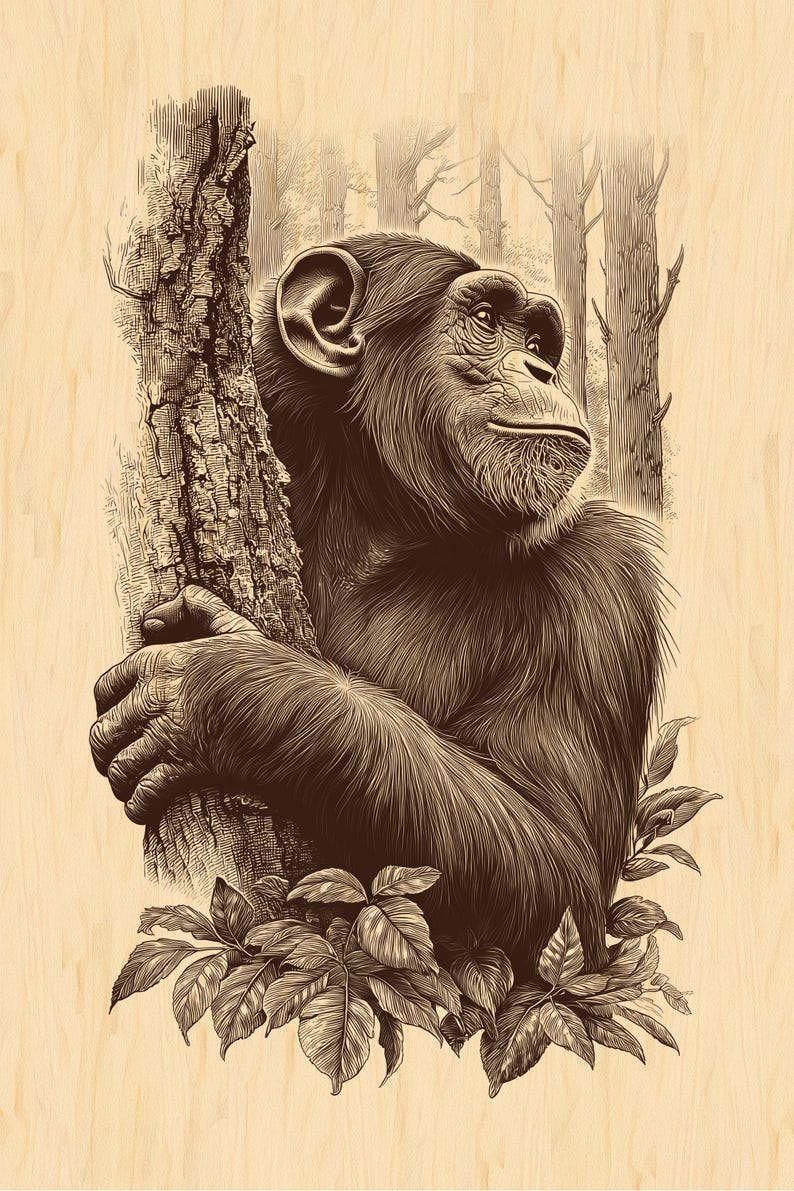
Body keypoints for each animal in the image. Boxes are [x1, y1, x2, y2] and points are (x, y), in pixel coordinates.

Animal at [90, 234, 664, 977]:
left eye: (538, 339)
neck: (371, 515)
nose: (541, 368)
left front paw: (220, 687)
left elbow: (562, 871)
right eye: (488, 321)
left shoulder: (607, 582)